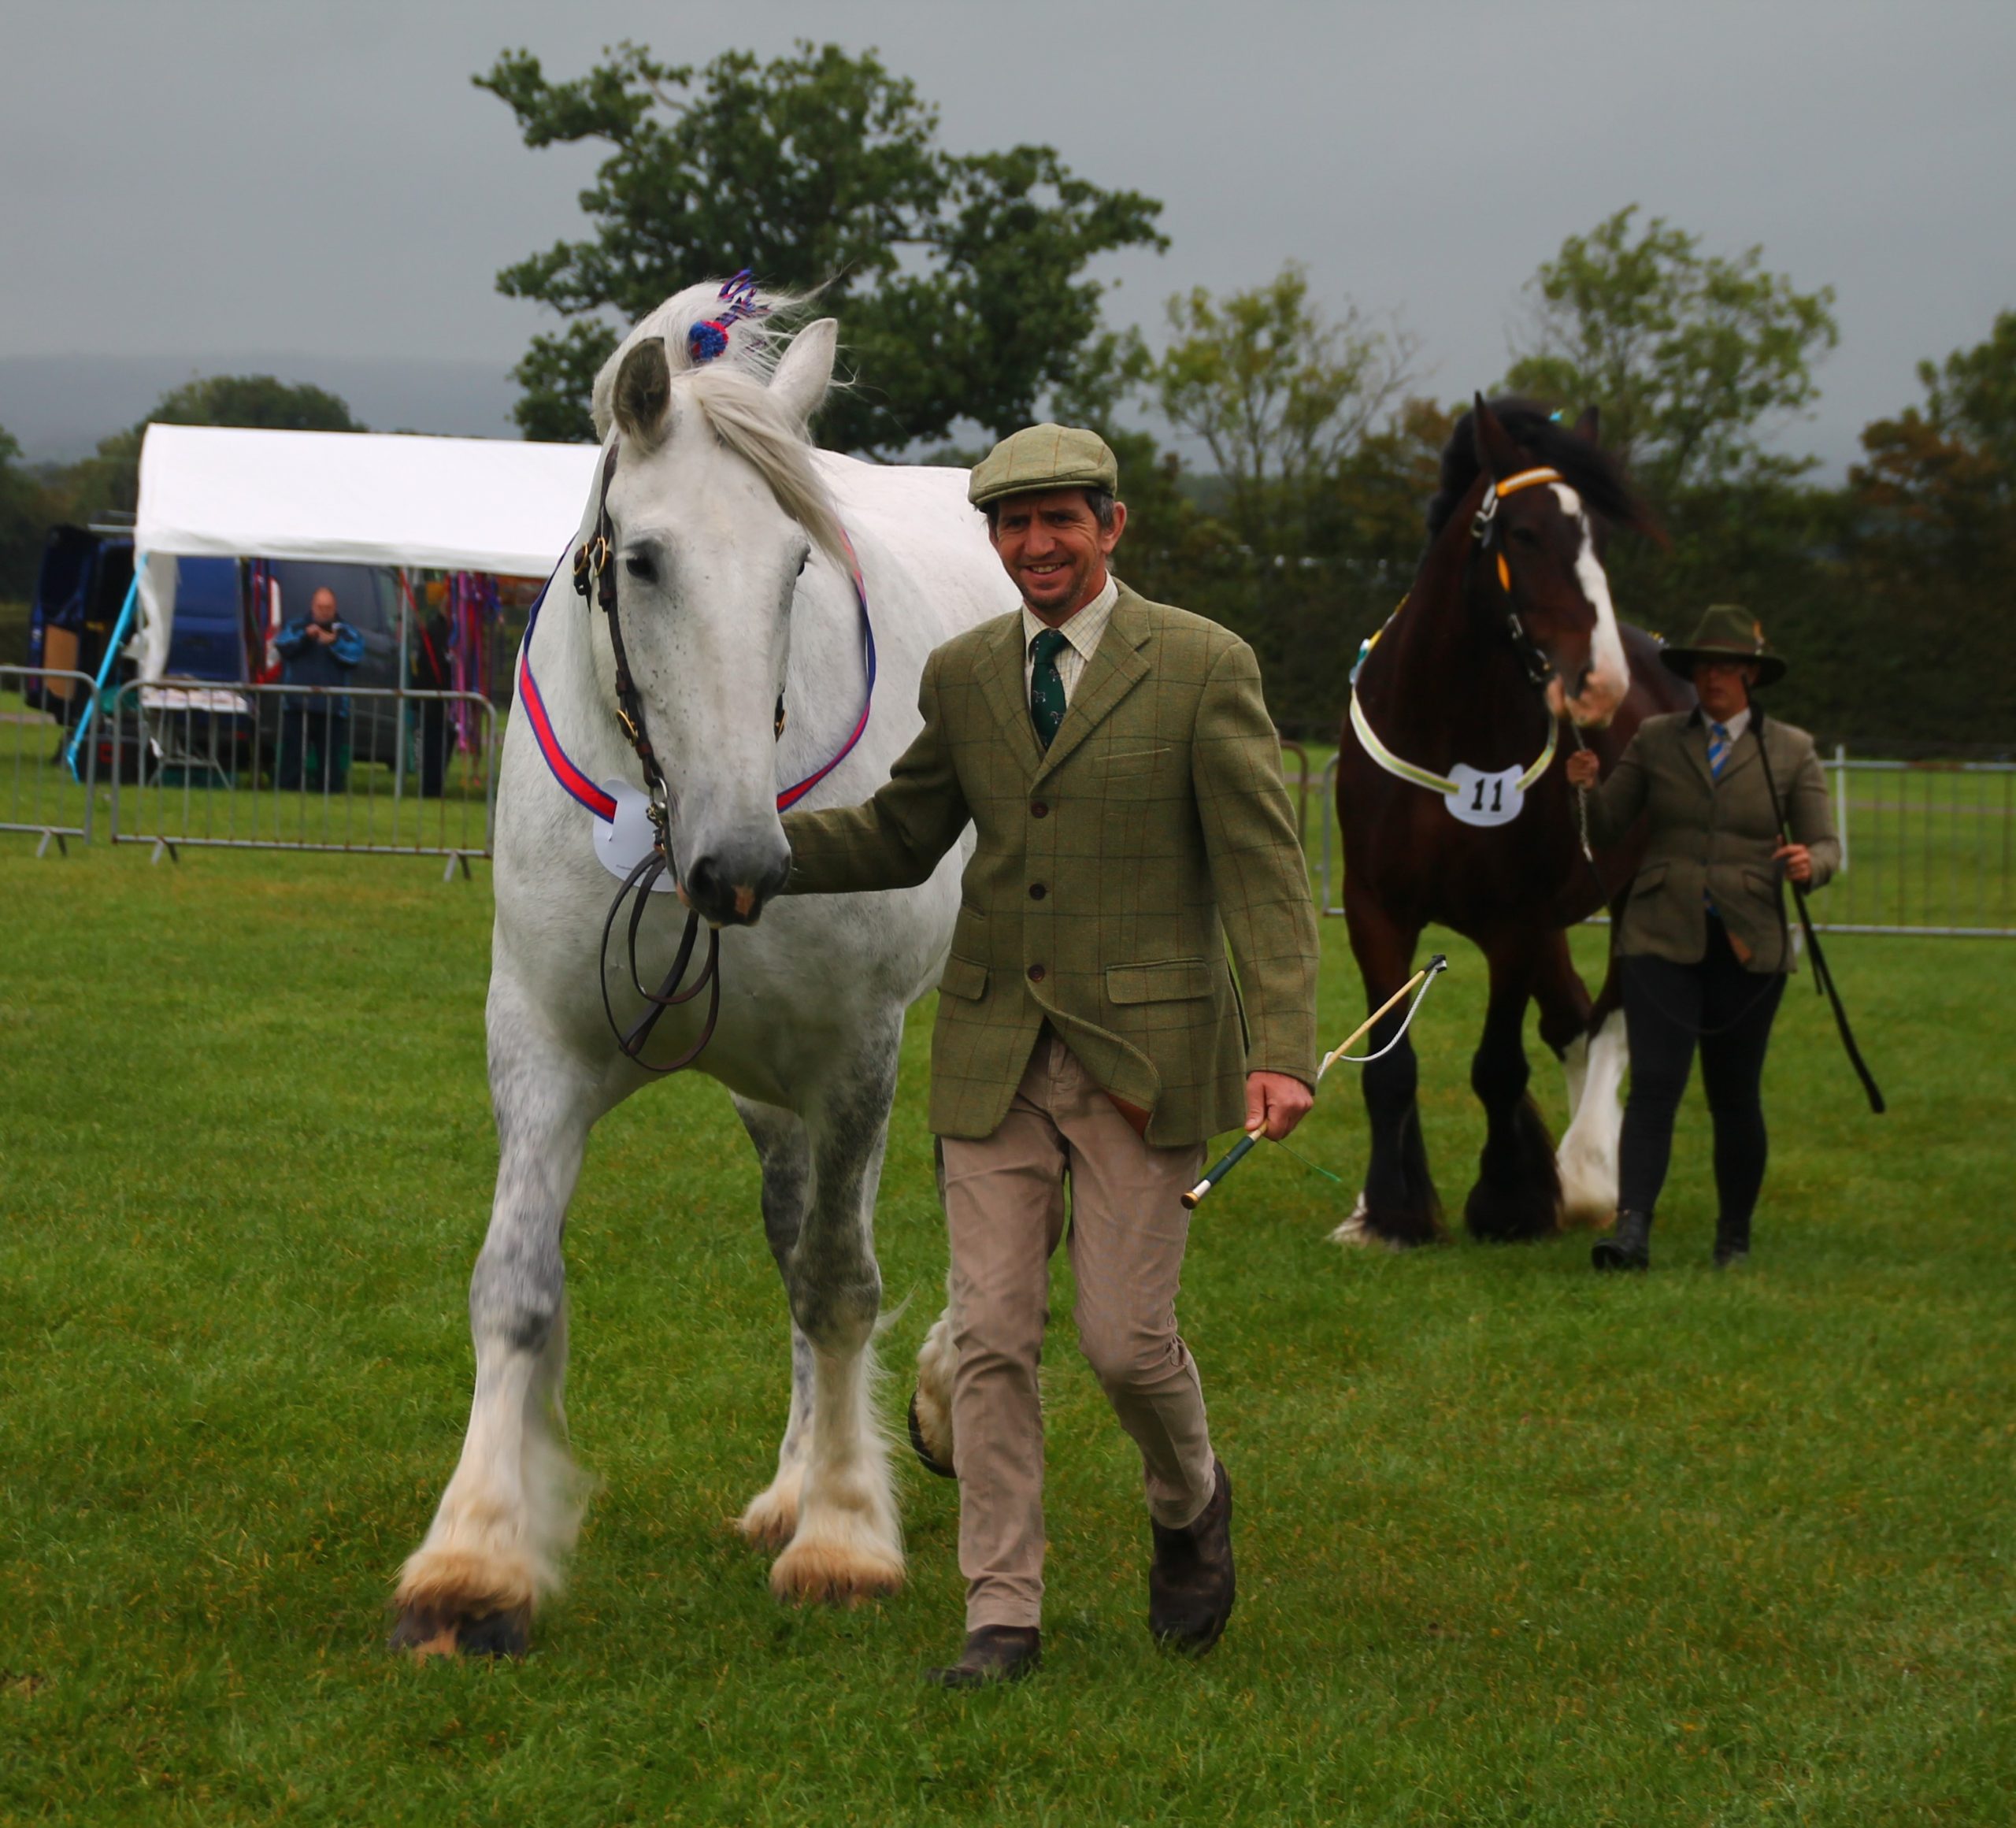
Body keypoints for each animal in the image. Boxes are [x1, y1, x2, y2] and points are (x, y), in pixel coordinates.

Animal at [390, 280, 1016, 1656]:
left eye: (797, 566)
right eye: (642, 560)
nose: (742, 863)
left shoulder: (855, 1054)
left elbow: (842, 1280)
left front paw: (846, 1536)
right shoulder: (542, 1046)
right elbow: (516, 1283)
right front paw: (473, 1558)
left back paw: (925, 1410)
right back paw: (788, 1481)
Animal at [1334, 396, 1692, 1250]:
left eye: (1600, 539)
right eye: (1524, 534)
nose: (1599, 683)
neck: (1445, 727)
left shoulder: (1515, 921)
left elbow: (1497, 1065)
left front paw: (1509, 1198)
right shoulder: (1373, 908)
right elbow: (1391, 1064)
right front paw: (1389, 1209)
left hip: (1634, 893)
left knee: (1610, 1018)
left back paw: (1590, 1171)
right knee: (1571, 1016)